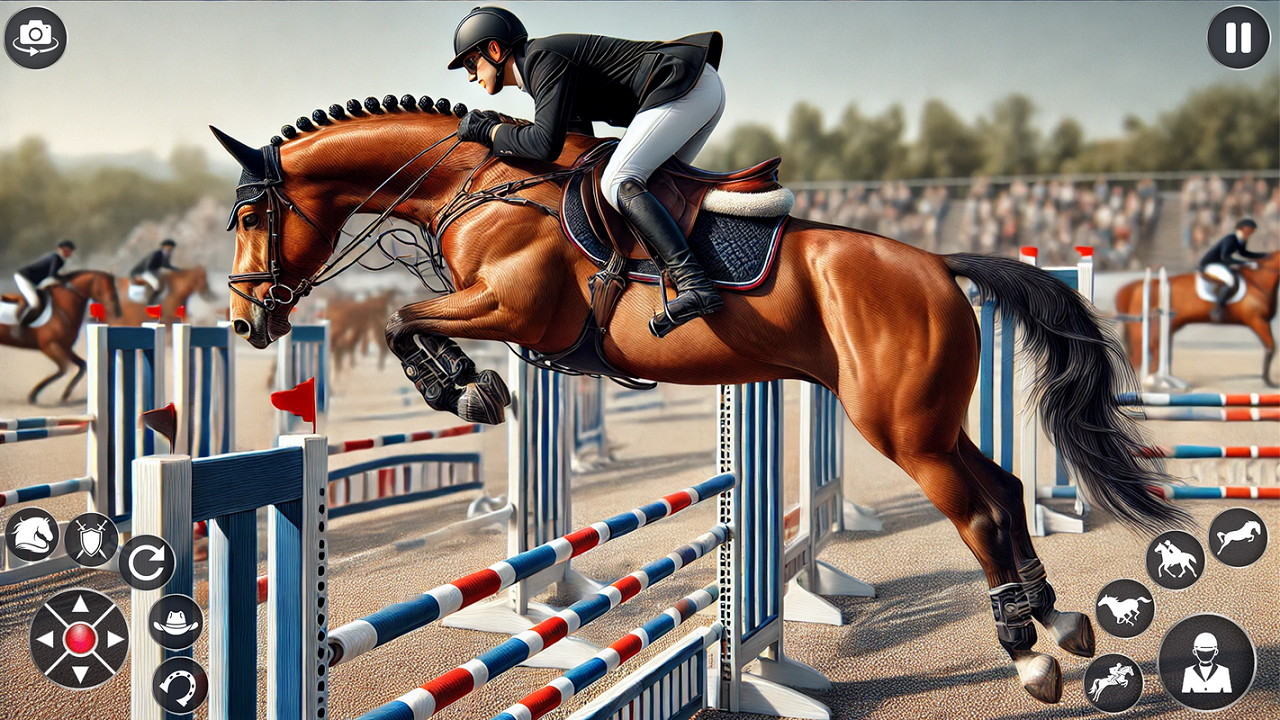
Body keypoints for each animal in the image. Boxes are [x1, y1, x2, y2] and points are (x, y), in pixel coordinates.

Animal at [0, 270, 122, 404]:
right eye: (107, 287)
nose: (118, 312)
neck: (63, 308)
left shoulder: (65, 347)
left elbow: (82, 365)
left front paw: (66, 394)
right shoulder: (49, 346)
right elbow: (63, 369)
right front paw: (33, 395)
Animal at [209, 96, 1190, 704]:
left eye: (253, 217)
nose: (249, 321)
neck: (479, 186)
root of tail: (940, 264)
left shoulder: (514, 307)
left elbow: (403, 318)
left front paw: (466, 386)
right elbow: (407, 317)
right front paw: (467, 383)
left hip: (903, 430)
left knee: (980, 513)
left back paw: (1026, 658)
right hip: (929, 423)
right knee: (1007, 490)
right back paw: (1060, 620)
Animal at [1115, 252, 1279, 387]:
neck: (1258, 282)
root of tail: (1149, 283)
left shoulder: (1261, 322)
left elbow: (1269, 347)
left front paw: (1267, 380)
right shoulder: (1258, 321)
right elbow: (1271, 347)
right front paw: (1269, 382)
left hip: (1169, 325)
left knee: (1153, 350)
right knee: (1143, 351)